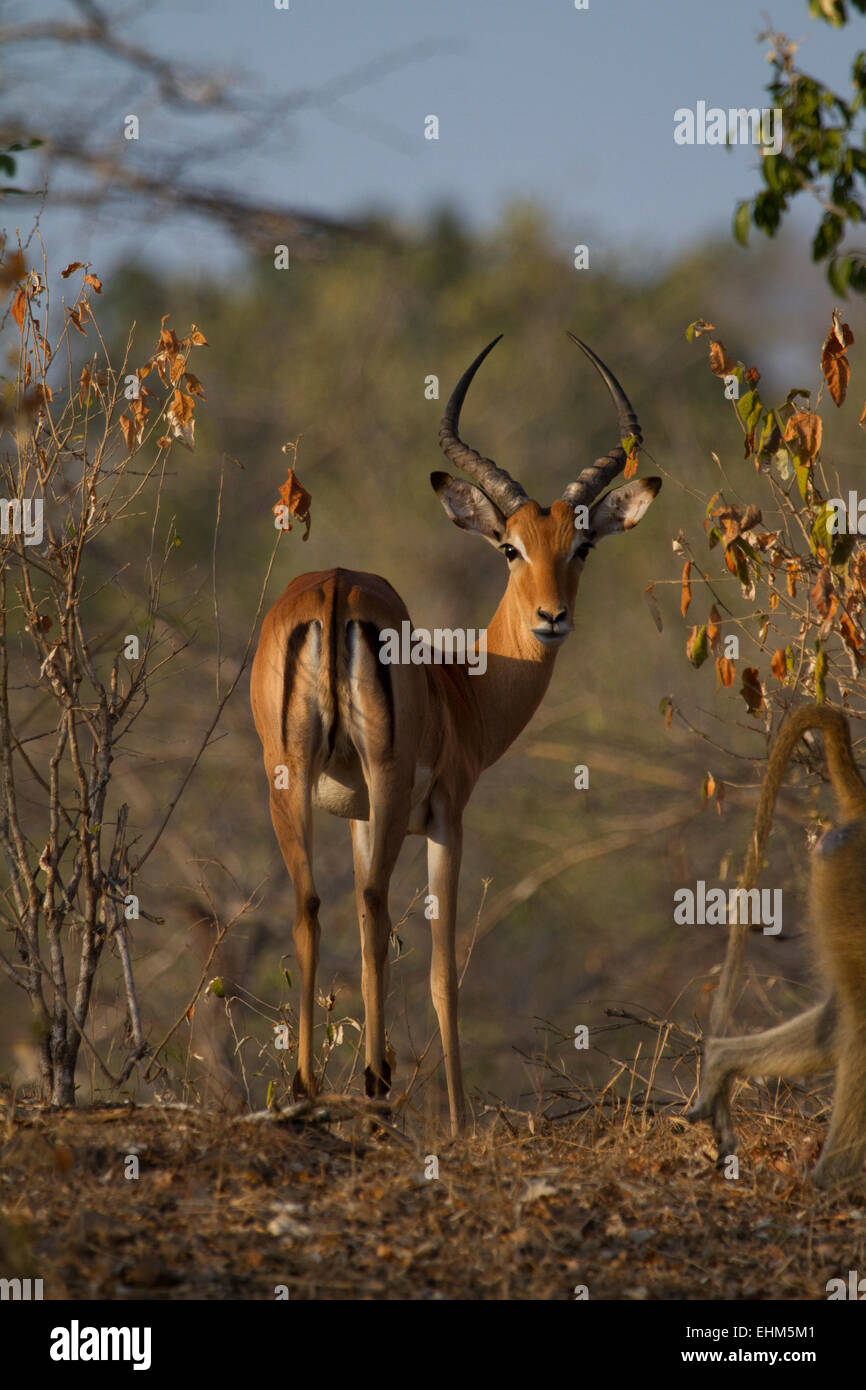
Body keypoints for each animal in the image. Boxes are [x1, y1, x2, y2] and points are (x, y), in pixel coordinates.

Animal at [250, 335, 661, 1135]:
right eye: (510, 547)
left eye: (581, 547)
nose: (551, 618)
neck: (462, 685)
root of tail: (334, 589)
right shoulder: (446, 814)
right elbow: (443, 969)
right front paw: (461, 1119)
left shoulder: (355, 817)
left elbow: (364, 941)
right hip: (384, 776)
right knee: (374, 902)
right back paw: (374, 1087)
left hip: (291, 776)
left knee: (313, 905)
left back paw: (309, 1089)